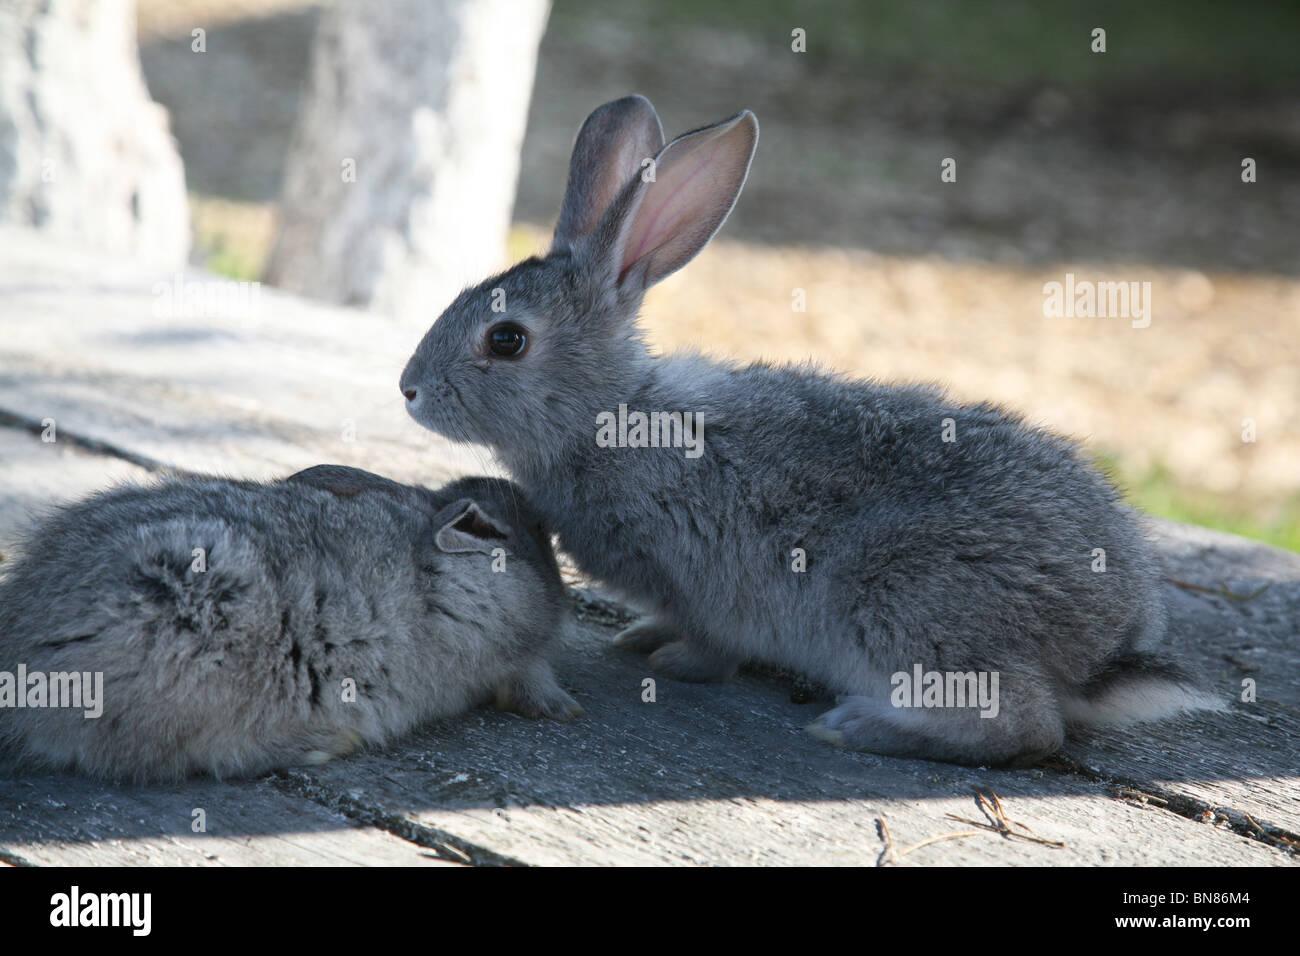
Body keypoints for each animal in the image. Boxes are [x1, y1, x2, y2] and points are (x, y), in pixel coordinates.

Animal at [398, 95, 1221, 767]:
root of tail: (1107, 649)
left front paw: (673, 661)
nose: (408, 389)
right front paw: (643, 637)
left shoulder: (703, 575)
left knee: (1026, 729)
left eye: (507, 340)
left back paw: (857, 727)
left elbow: (714, 644)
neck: (610, 413)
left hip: (902, 604)